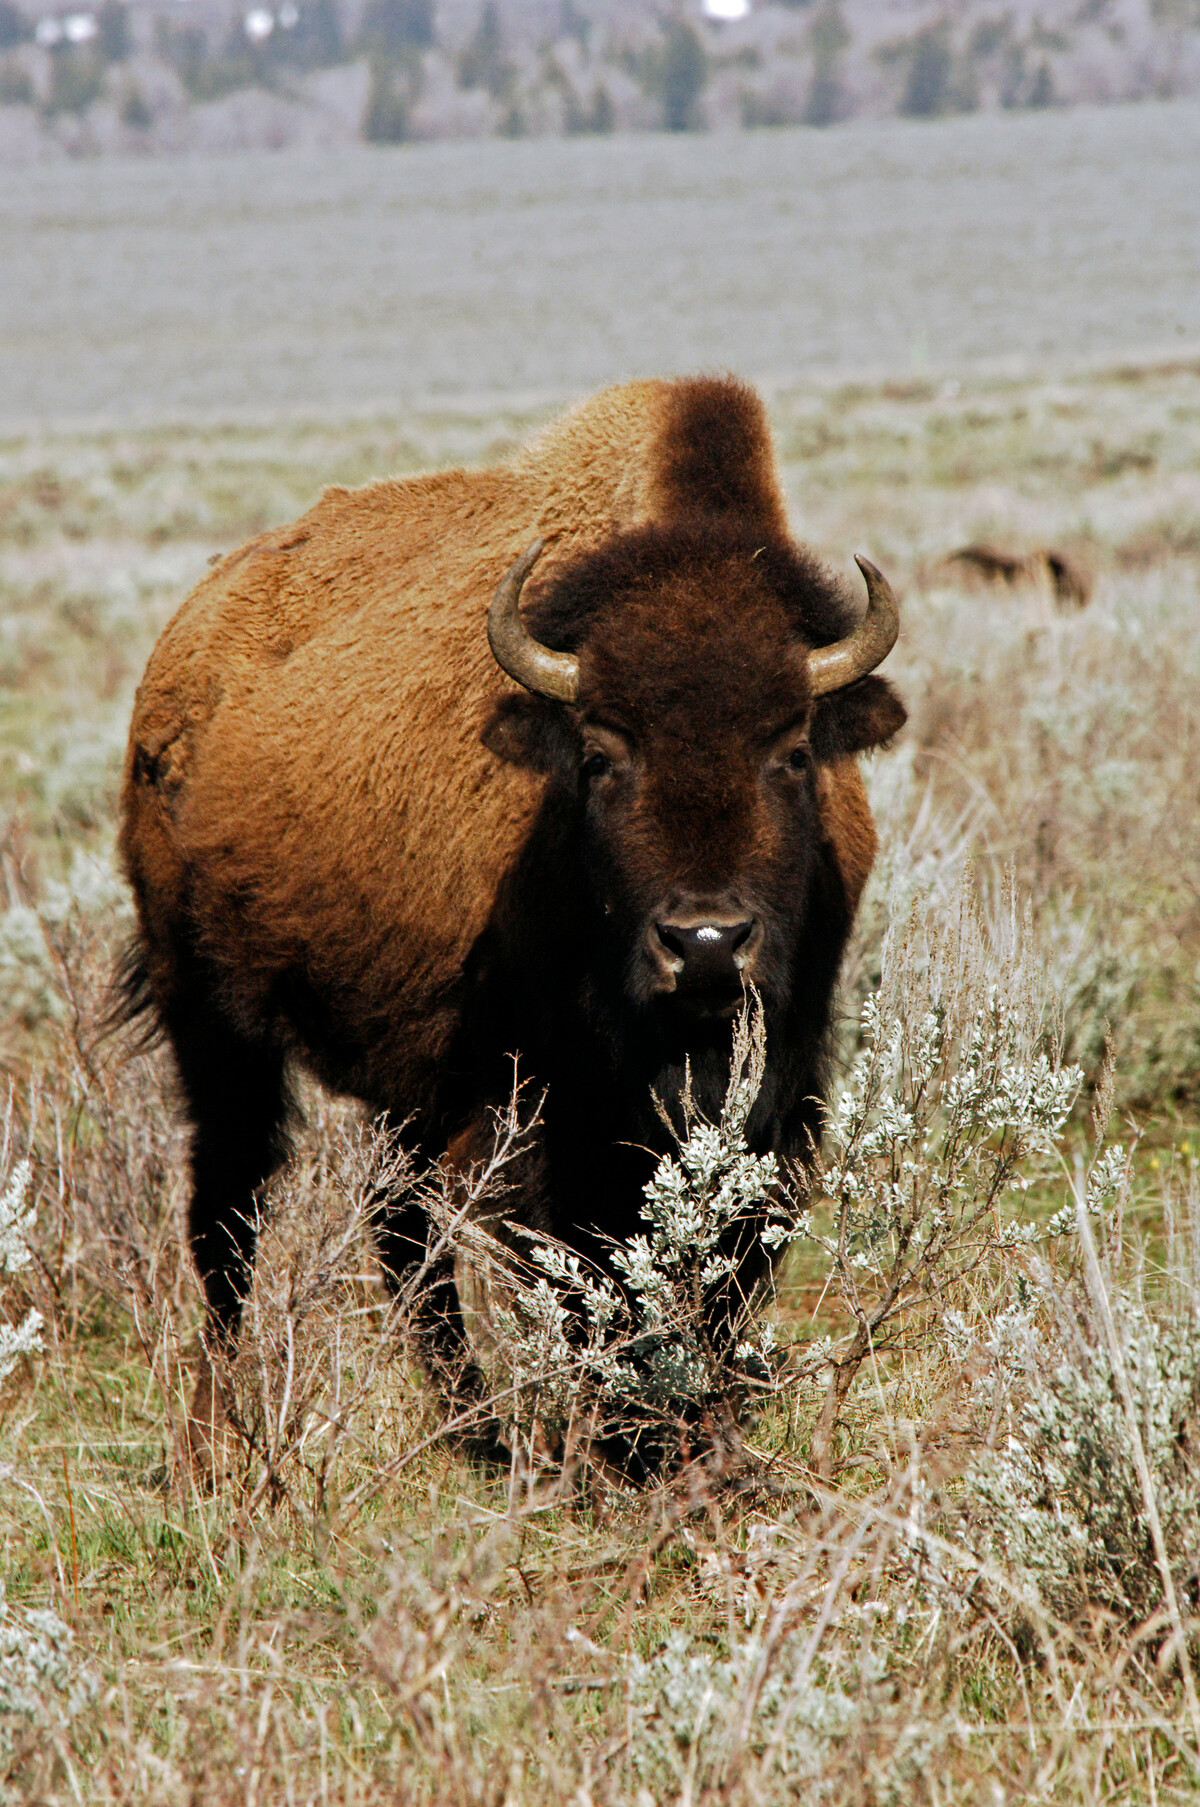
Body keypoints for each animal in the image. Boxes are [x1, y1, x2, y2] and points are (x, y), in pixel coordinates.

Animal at [116, 375, 905, 1436]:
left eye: (790, 751)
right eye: (601, 754)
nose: (704, 944)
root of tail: (183, 645)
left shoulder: (780, 1077)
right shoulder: (530, 1109)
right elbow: (583, 1276)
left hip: (401, 1075)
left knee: (398, 1228)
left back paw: (465, 1412)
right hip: (210, 1014)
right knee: (230, 1211)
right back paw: (224, 1423)